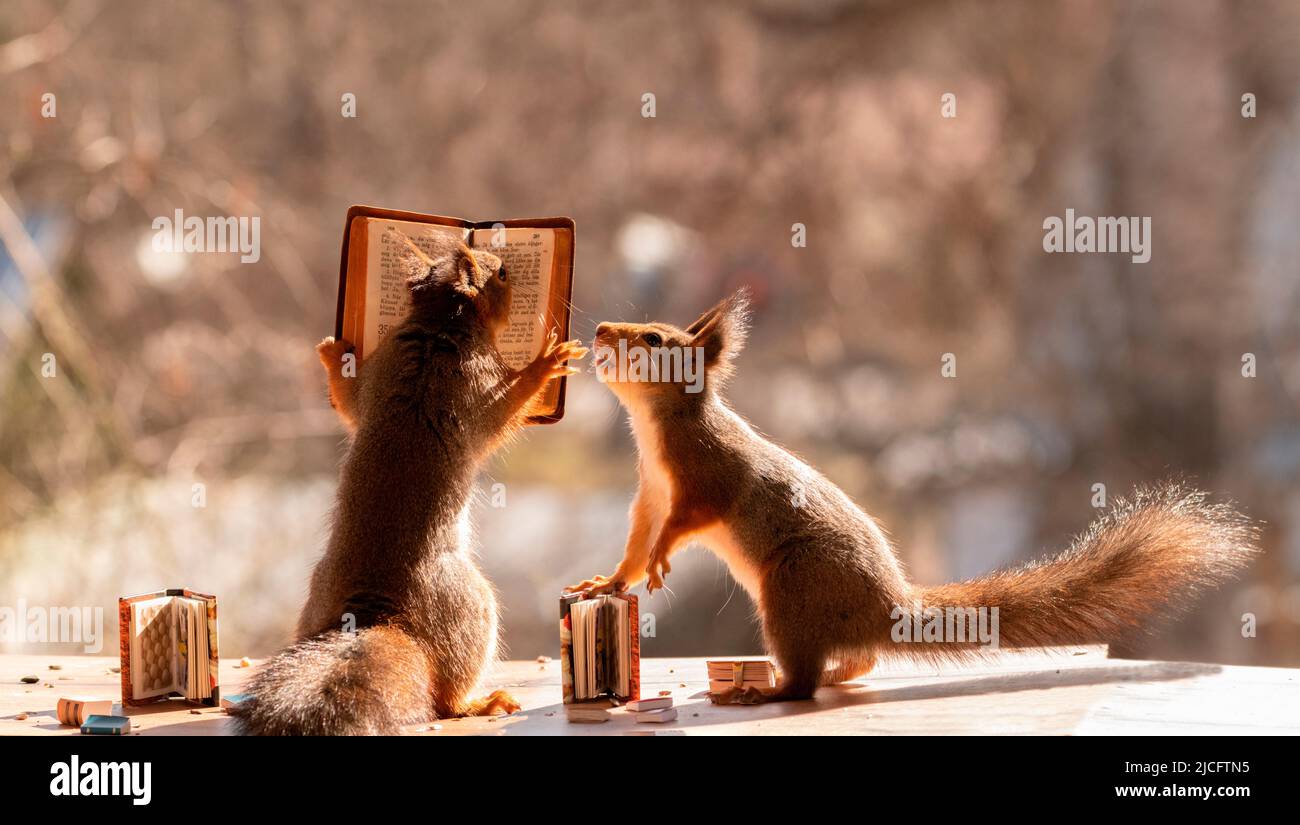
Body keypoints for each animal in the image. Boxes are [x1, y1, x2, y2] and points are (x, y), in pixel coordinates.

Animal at [233, 234, 587, 734]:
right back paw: (479, 703)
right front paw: (545, 363)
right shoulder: (480, 384)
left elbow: (350, 403)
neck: (438, 325)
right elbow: (508, 409)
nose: (509, 268)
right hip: (471, 607)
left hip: (317, 595)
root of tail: (377, 613)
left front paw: (334, 353)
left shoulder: (377, 375)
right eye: (500, 274)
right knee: (448, 697)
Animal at [567, 288, 1259, 704]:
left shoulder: (708, 476)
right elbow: (636, 543)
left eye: (655, 341)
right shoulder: (651, 496)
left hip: (792, 589)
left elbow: (686, 524)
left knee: (805, 681)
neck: (658, 429)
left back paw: (765, 690)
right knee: (859, 663)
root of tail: (886, 605)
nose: (599, 329)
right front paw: (607, 581)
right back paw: (833, 678)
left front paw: (662, 560)